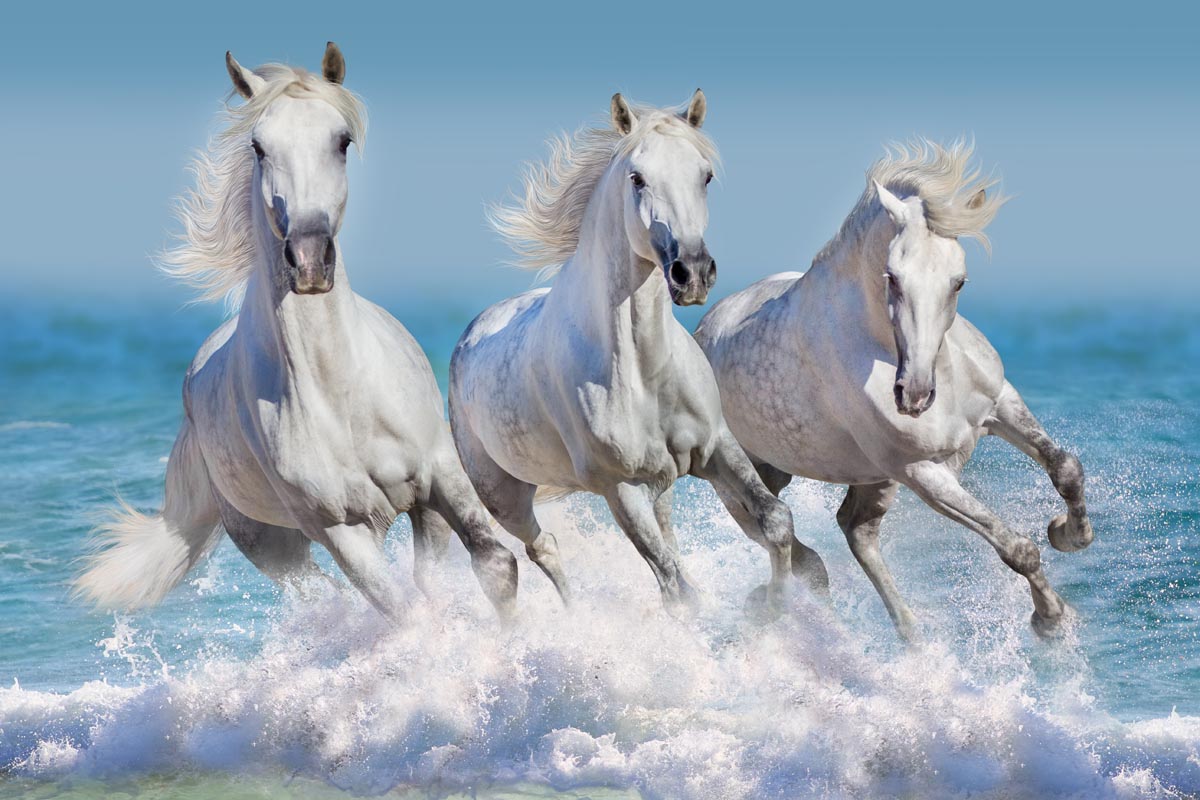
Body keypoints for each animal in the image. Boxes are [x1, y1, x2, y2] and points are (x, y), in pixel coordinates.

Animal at [74, 43, 518, 623]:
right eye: (259, 146)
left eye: (342, 140)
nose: (308, 259)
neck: (340, 395)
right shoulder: (341, 532)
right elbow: (409, 613)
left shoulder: (440, 479)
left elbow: (495, 567)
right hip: (274, 547)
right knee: (327, 598)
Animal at [448, 92, 829, 616]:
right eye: (637, 178)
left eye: (705, 175)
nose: (692, 272)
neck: (642, 370)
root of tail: (471, 334)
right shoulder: (619, 488)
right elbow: (673, 589)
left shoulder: (716, 446)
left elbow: (775, 521)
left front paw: (778, 609)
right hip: (505, 497)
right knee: (539, 549)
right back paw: (573, 617)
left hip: (661, 483)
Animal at [694, 141, 1093, 640]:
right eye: (892, 276)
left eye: (958, 281)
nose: (914, 396)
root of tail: (704, 329)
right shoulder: (921, 472)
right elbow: (1014, 546)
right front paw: (1050, 618)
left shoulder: (1001, 405)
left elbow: (1066, 468)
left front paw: (1069, 533)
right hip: (739, 474)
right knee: (782, 535)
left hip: (856, 476)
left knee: (855, 530)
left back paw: (910, 637)